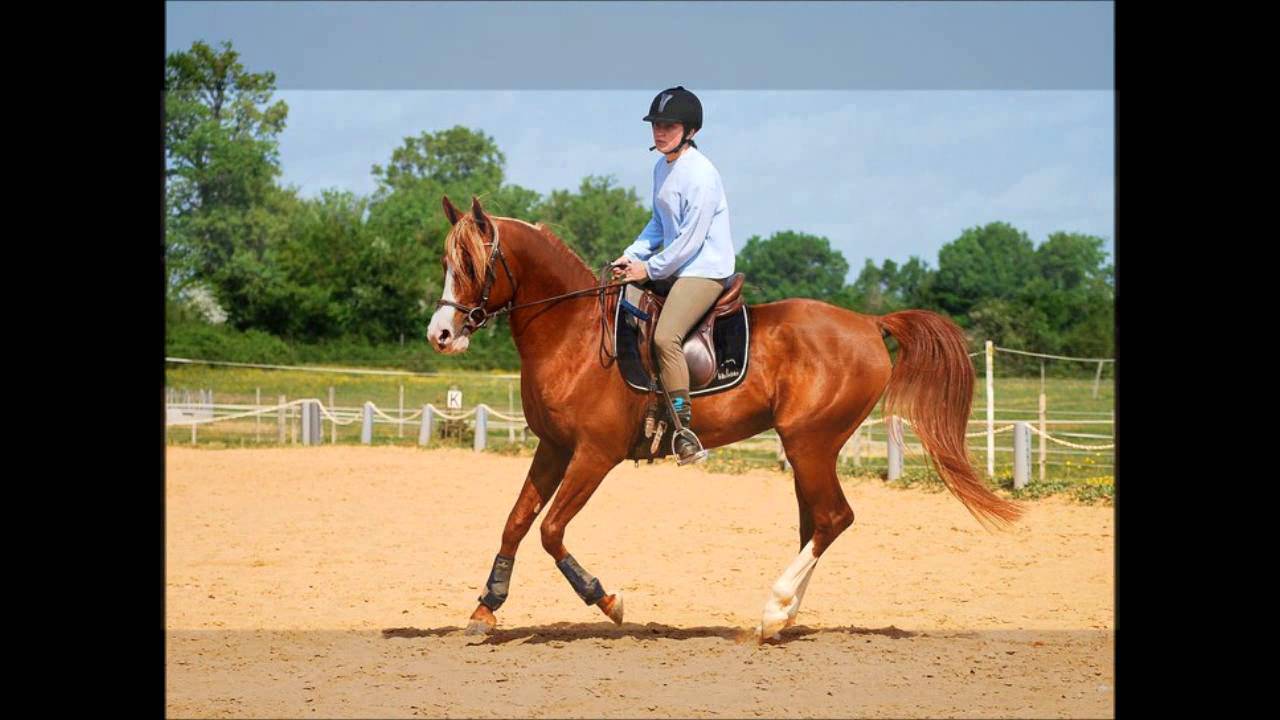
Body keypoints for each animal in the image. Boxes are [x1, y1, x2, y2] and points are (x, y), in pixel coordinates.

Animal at [426, 195, 1023, 641]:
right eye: (446, 264)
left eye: (474, 265)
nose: (441, 335)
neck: (571, 333)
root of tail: (869, 323)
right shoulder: (552, 447)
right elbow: (517, 521)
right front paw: (486, 607)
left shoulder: (594, 455)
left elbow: (551, 531)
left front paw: (609, 600)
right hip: (809, 449)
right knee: (816, 524)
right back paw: (782, 617)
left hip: (810, 442)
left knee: (833, 519)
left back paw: (774, 610)